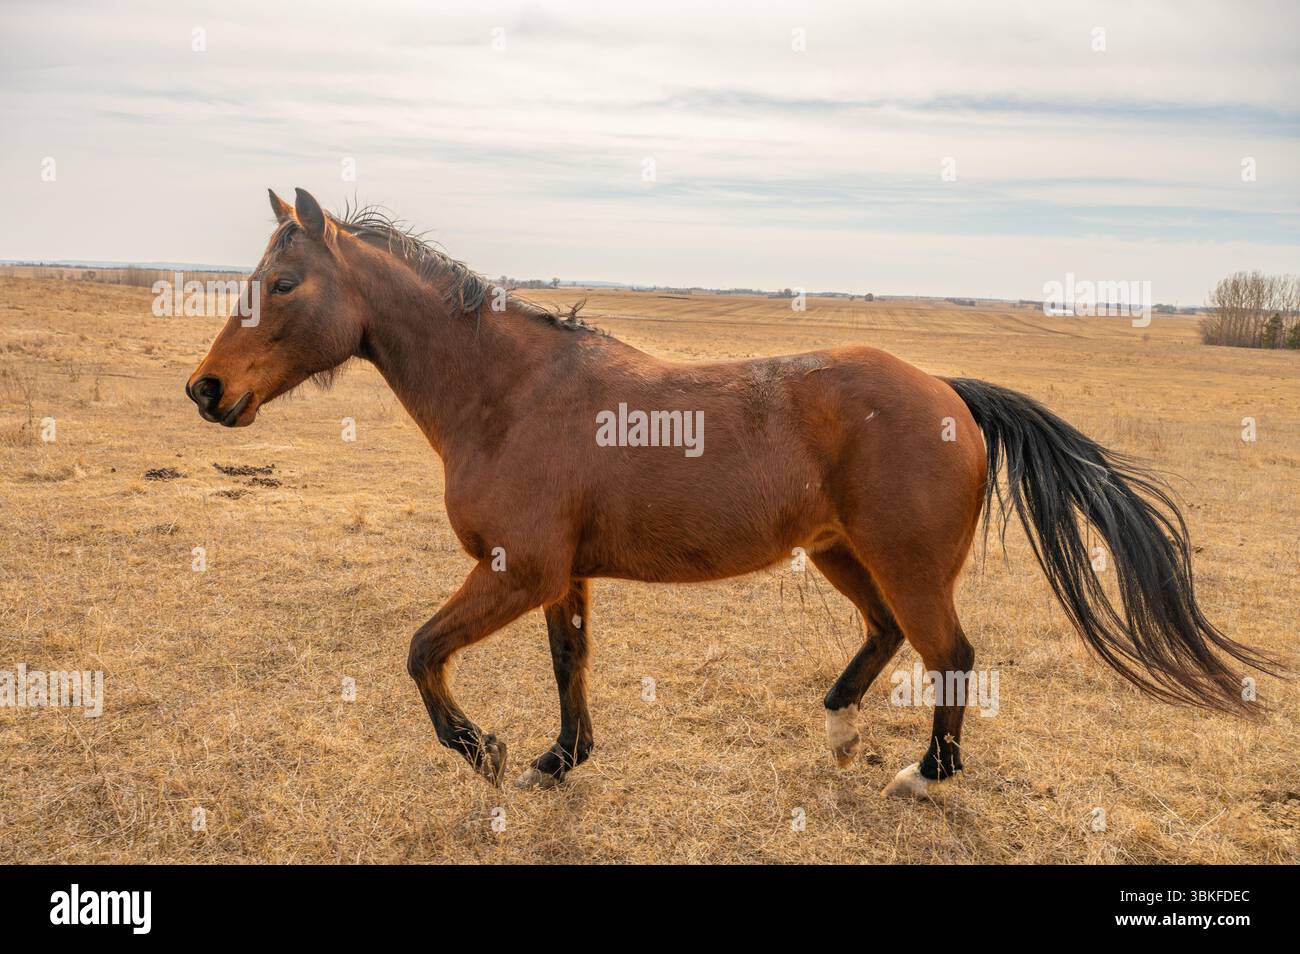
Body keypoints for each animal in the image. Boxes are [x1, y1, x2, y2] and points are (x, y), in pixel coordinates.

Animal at [186, 188, 1275, 797]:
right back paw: (838, 724)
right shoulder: (559, 579)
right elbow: (570, 668)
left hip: (906, 566)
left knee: (951, 656)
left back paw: (925, 776)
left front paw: (483, 751)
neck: (511, 393)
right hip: (843, 555)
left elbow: (420, 654)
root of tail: (948, 394)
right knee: (886, 637)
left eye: (284, 284)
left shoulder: (515, 571)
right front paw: (556, 761)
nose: (206, 390)